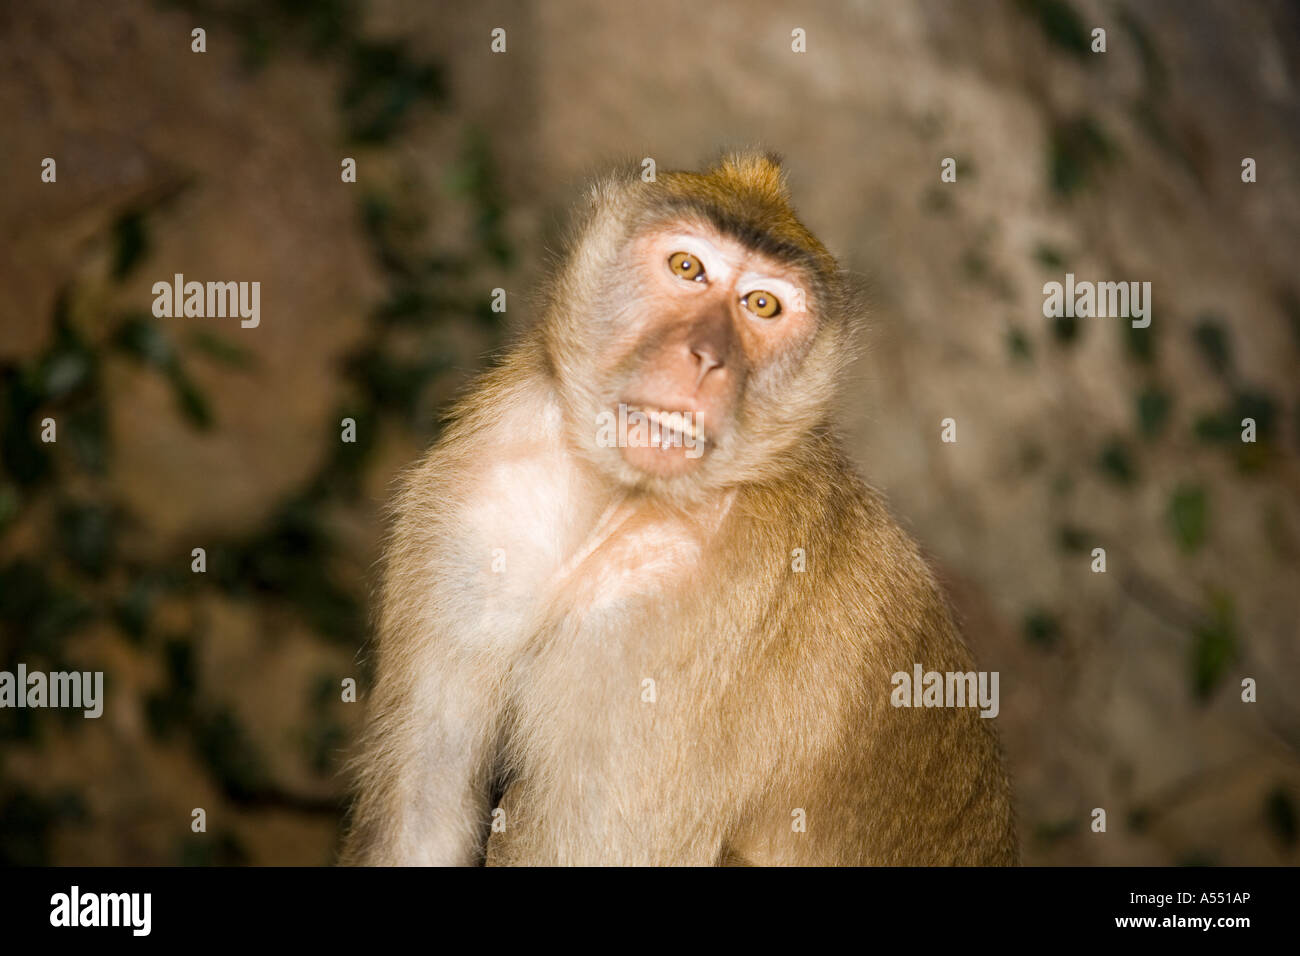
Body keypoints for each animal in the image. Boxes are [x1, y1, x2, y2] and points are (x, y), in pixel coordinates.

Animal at [340, 151, 1018, 866]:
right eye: (688, 268)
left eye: (762, 305)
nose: (707, 357)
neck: (625, 500)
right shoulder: (483, 490)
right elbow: (425, 811)